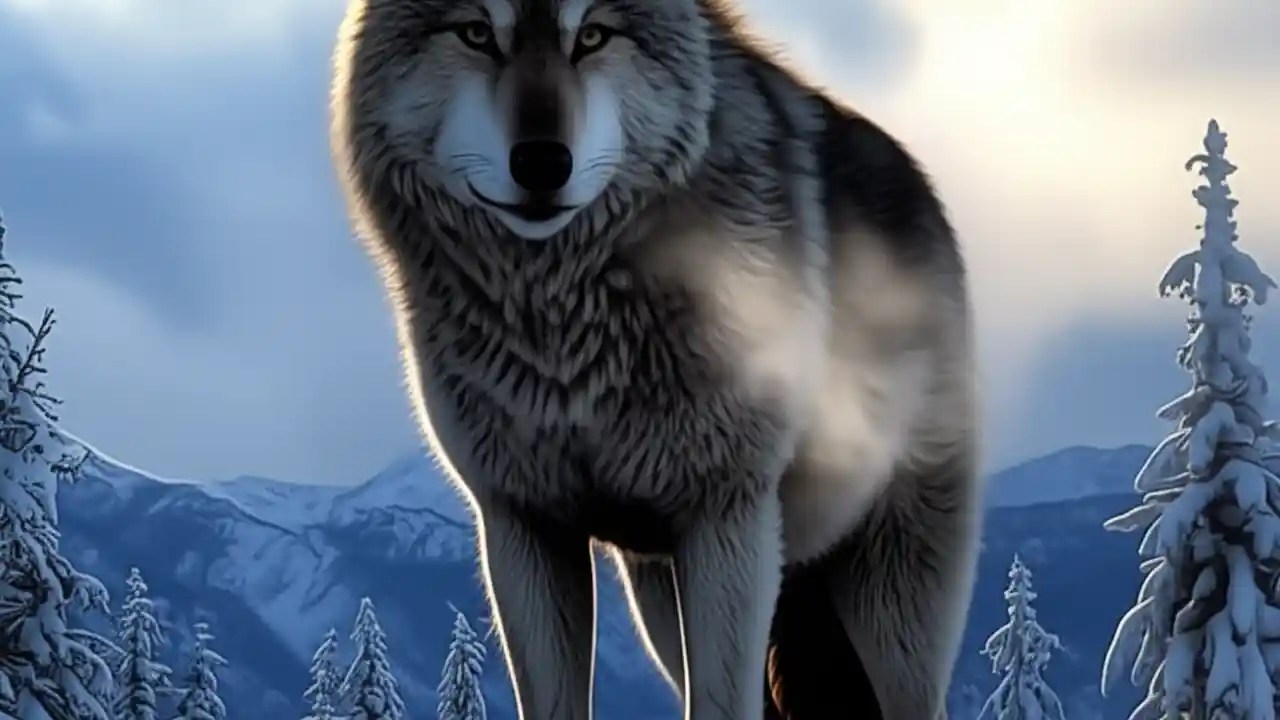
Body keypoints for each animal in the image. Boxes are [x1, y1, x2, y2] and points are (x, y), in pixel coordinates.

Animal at [329, 0, 981, 718]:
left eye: (592, 36)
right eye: (476, 33)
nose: (542, 161)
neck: (562, 328)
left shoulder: (728, 515)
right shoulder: (522, 526)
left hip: (888, 600)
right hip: (662, 596)